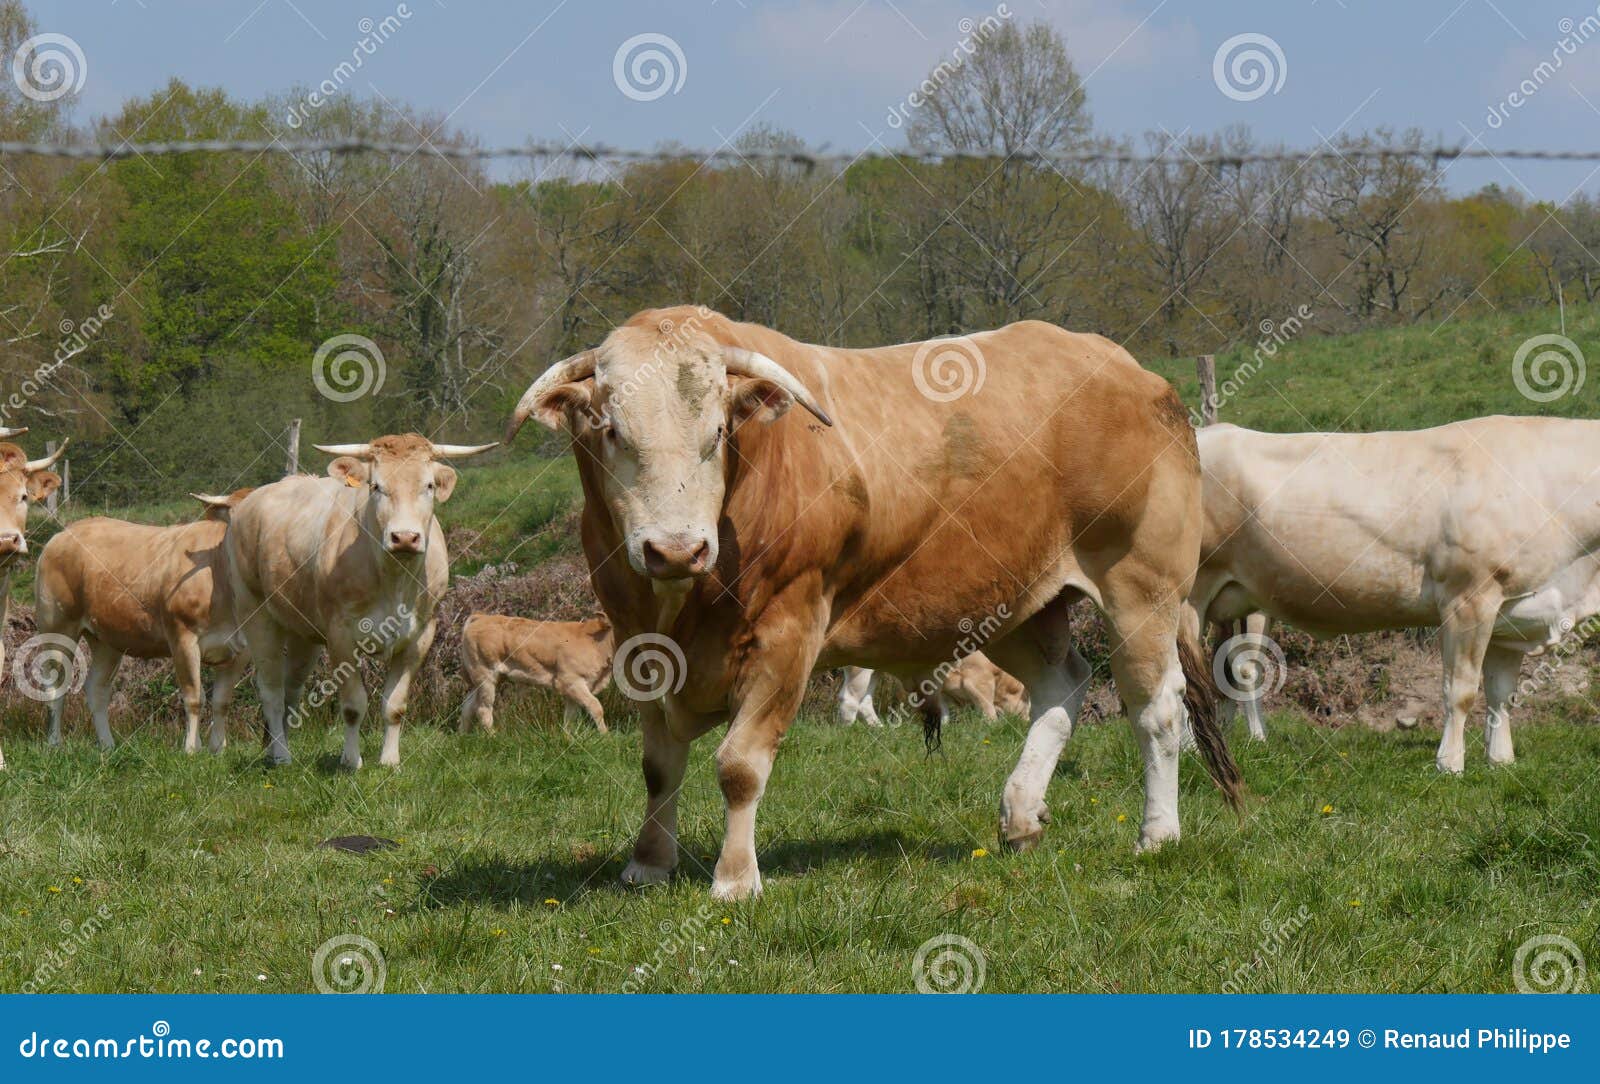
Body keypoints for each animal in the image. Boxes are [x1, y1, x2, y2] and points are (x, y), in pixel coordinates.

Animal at [32, 490, 253, 754]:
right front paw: (191, 749)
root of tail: (63, 534)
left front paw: (218, 749)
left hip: (107, 640)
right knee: (56, 685)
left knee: (96, 688)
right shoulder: (183, 639)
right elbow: (194, 697)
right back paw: (55, 743)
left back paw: (107, 745)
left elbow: (222, 701)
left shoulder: (240, 649)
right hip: (57, 627)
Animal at [224, 435, 495, 768]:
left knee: (291, 689)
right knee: (271, 691)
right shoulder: (341, 635)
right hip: (256, 615)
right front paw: (351, 761)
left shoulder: (420, 636)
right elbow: (353, 705)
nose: (405, 537)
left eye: (429, 485)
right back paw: (281, 755)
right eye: (376, 486)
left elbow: (395, 705)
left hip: (303, 633)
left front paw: (390, 760)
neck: (395, 579)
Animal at [458, 613, 613, 734]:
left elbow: (570, 717)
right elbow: (595, 707)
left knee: (467, 707)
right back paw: (493, 737)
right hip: (485, 676)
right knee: (482, 709)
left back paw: (462, 737)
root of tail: (482, 616)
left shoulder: (574, 688)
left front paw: (569, 738)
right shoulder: (570, 681)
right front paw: (605, 737)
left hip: (481, 679)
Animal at [837, 653, 1030, 726]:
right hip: (860, 669)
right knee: (849, 699)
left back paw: (879, 728)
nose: (1027, 721)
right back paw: (848, 730)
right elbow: (986, 707)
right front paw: (993, 726)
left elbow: (942, 712)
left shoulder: (941, 687)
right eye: (1027, 699)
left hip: (875, 670)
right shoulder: (979, 679)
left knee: (865, 701)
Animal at [1188, 417, 1600, 772]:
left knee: (1236, 667)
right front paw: (1450, 763)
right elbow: (1461, 690)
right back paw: (1191, 747)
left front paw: (1500, 760)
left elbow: (1502, 694)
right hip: (1189, 594)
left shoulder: (1514, 611)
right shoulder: (1468, 599)